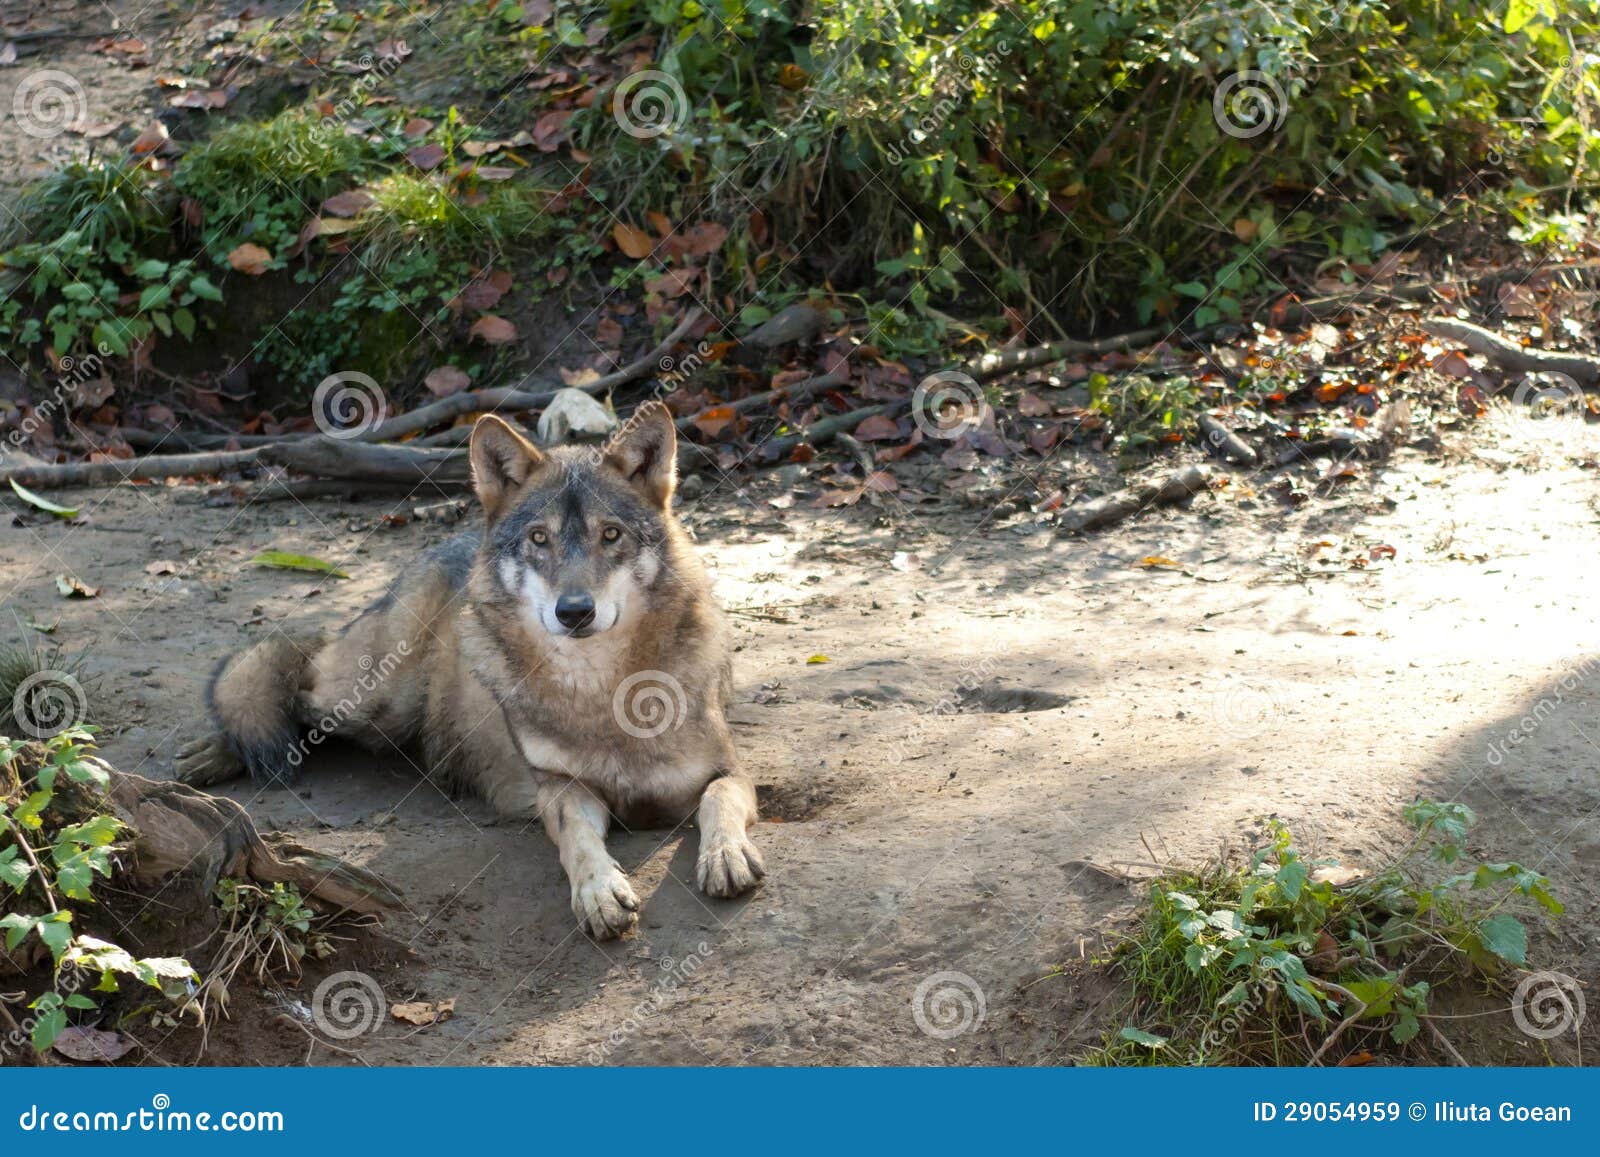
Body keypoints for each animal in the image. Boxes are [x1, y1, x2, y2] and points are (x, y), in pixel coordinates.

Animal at [173, 404, 765, 938]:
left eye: (612, 535)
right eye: (539, 538)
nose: (574, 612)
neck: (602, 692)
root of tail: (451, 543)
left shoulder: (728, 770)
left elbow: (718, 800)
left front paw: (726, 855)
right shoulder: (559, 789)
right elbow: (578, 841)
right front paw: (599, 892)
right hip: (375, 701)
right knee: (287, 678)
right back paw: (211, 757)